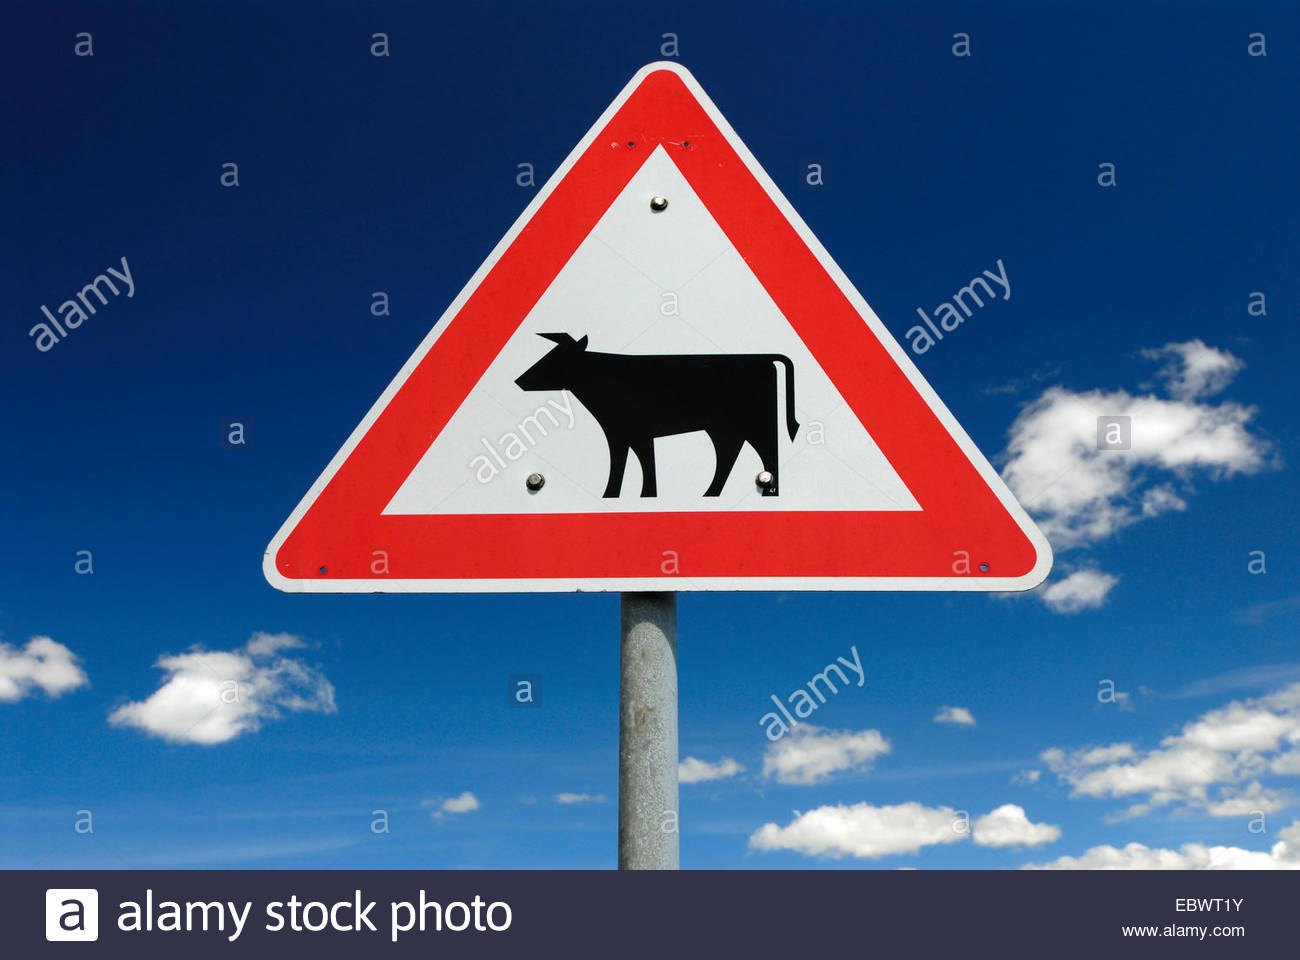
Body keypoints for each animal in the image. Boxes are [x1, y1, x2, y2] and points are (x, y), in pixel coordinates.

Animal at [515, 332, 799, 497]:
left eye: (555, 359)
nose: (519, 381)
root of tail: (764, 359)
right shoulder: (618, 433)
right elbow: (622, 462)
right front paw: (614, 494)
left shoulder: (639, 432)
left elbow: (642, 461)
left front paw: (644, 494)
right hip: (722, 427)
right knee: (729, 452)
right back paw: (711, 492)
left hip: (756, 422)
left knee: (766, 450)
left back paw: (767, 489)